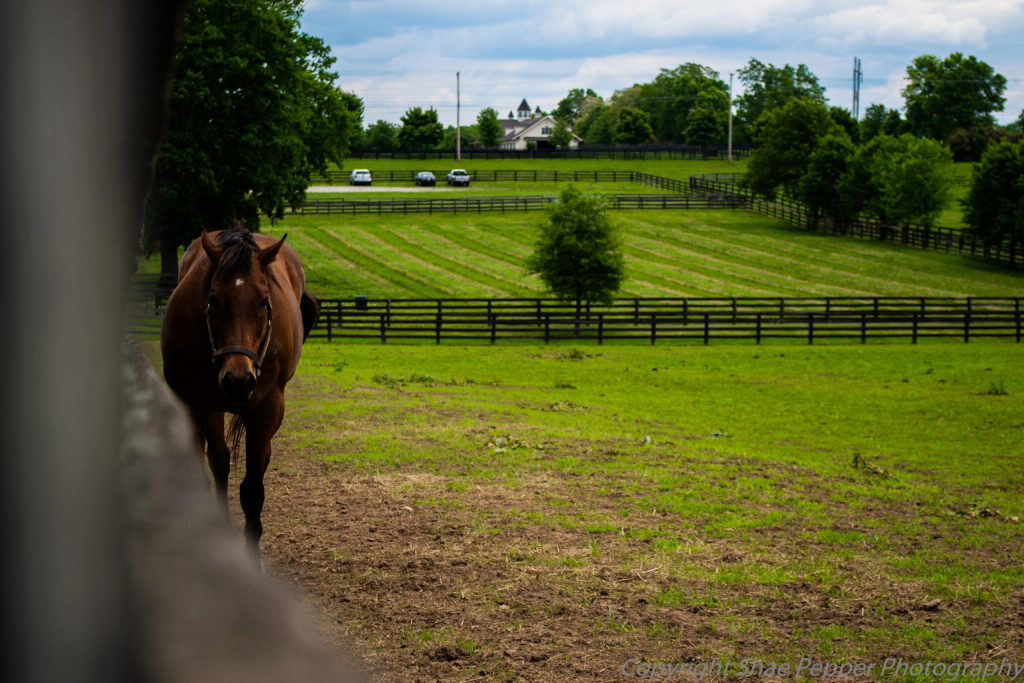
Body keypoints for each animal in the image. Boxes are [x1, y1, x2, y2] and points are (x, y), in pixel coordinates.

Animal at [160, 227, 319, 557]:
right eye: (213, 299)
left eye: (263, 300)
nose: (238, 379)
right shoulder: (193, 403)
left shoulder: (266, 410)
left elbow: (252, 490)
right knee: (220, 462)